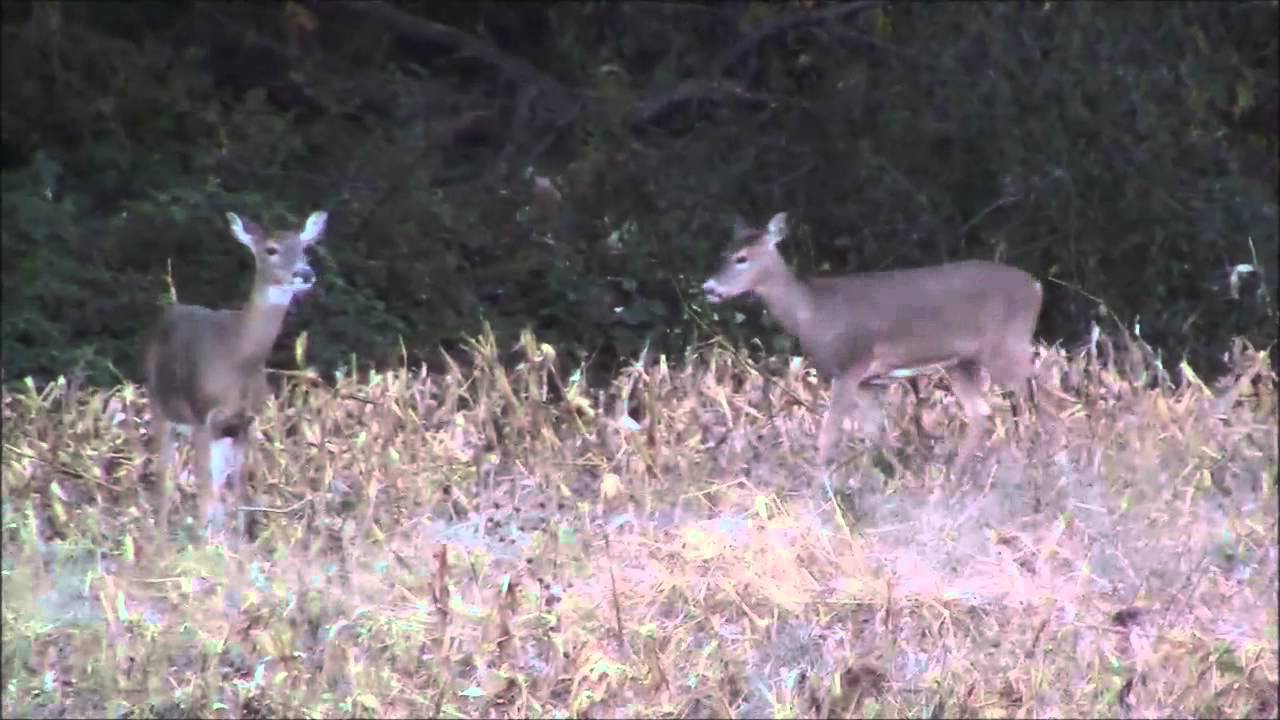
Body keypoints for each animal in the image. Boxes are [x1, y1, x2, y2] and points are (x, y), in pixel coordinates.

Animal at [144, 209, 328, 542]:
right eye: (271, 249)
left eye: (304, 249)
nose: (305, 274)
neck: (238, 358)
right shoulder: (204, 415)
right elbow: (206, 492)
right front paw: (204, 547)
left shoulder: (245, 422)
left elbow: (240, 492)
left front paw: (239, 544)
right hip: (162, 407)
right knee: (165, 480)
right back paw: (161, 541)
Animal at [701, 211, 1043, 475]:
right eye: (723, 254)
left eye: (742, 258)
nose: (708, 287)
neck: (812, 312)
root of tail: (1036, 286)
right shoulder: (870, 382)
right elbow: (874, 433)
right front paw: (879, 478)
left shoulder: (850, 364)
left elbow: (830, 434)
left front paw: (822, 487)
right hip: (962, 362)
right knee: (982, 412)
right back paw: (954, 477)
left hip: (1006, 344)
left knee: (1032, 401)